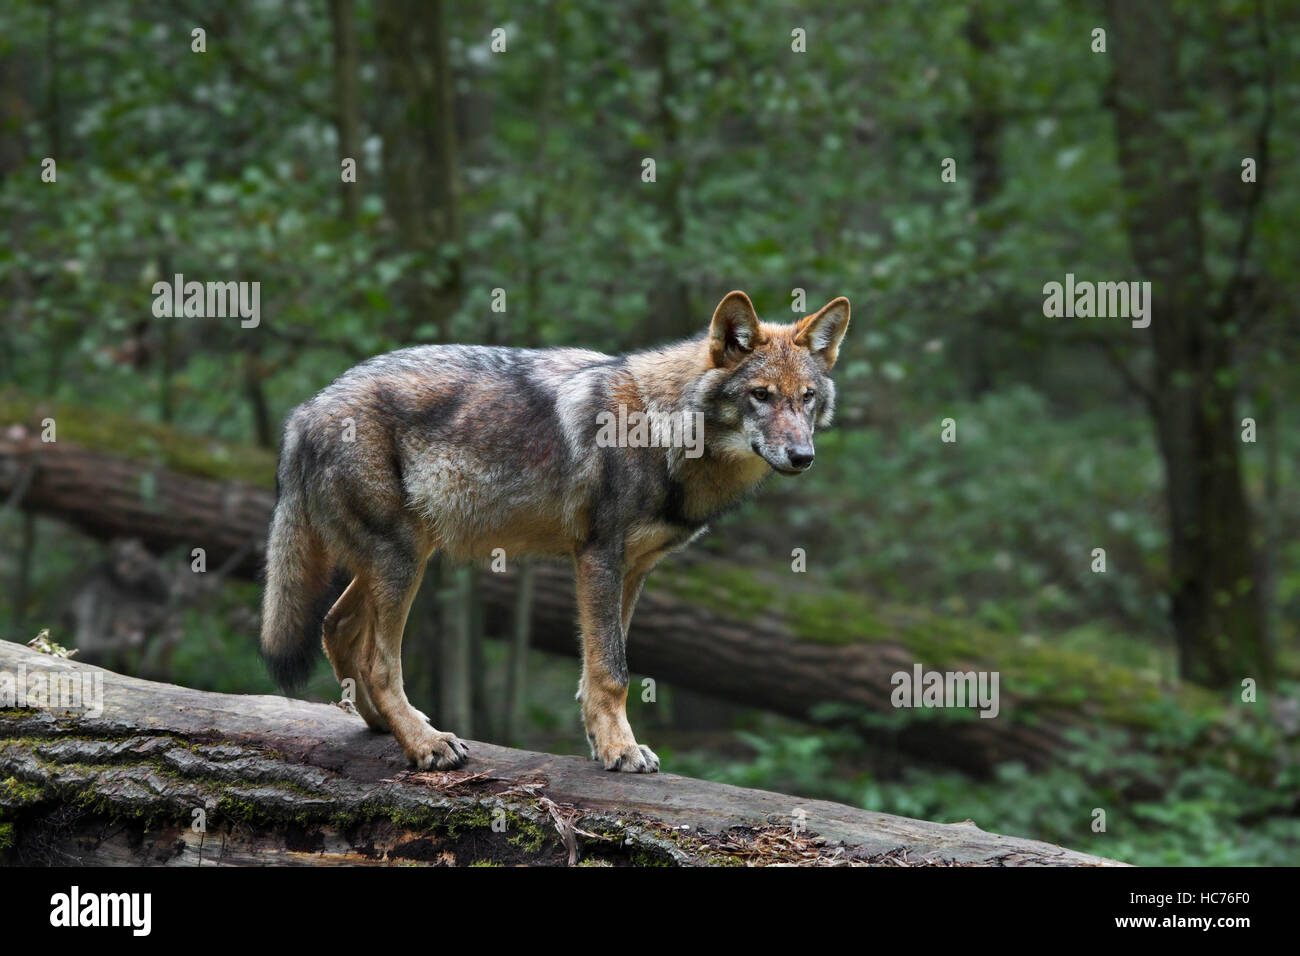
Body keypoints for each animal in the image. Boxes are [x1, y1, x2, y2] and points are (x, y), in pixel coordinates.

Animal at [259, 290, 850, 772]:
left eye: (805, 398)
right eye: (761, 395)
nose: (803, 456)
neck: (663, 428)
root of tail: (303, 412)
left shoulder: (632, 571)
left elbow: (597, 672)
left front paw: (605, 745)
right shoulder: (599, 558)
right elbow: (613, 670)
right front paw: (621, 751)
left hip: (405, 556)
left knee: (337, 627)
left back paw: (392, 727)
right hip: (401, 561)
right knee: (378, 662)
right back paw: (425, 744)